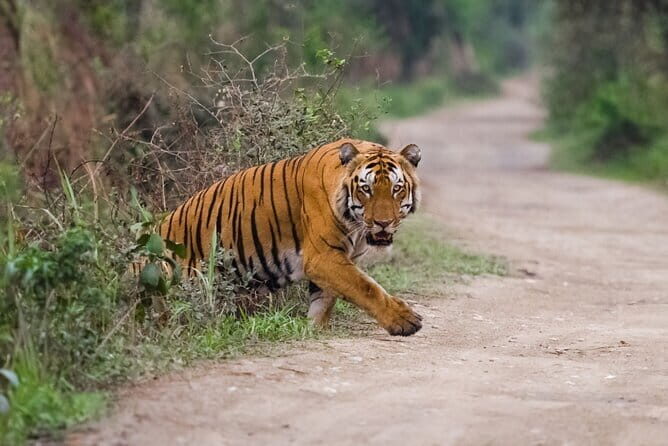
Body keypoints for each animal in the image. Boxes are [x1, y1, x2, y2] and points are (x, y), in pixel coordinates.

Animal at [158, 138, 423, 336]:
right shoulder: (323, 257)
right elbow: (366, 287)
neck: (355, 227)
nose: (383, 223)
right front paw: (404, 320)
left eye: (396, 189)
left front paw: (314, 330)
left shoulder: (335, 260)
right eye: (366, 189)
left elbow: (324, 300)